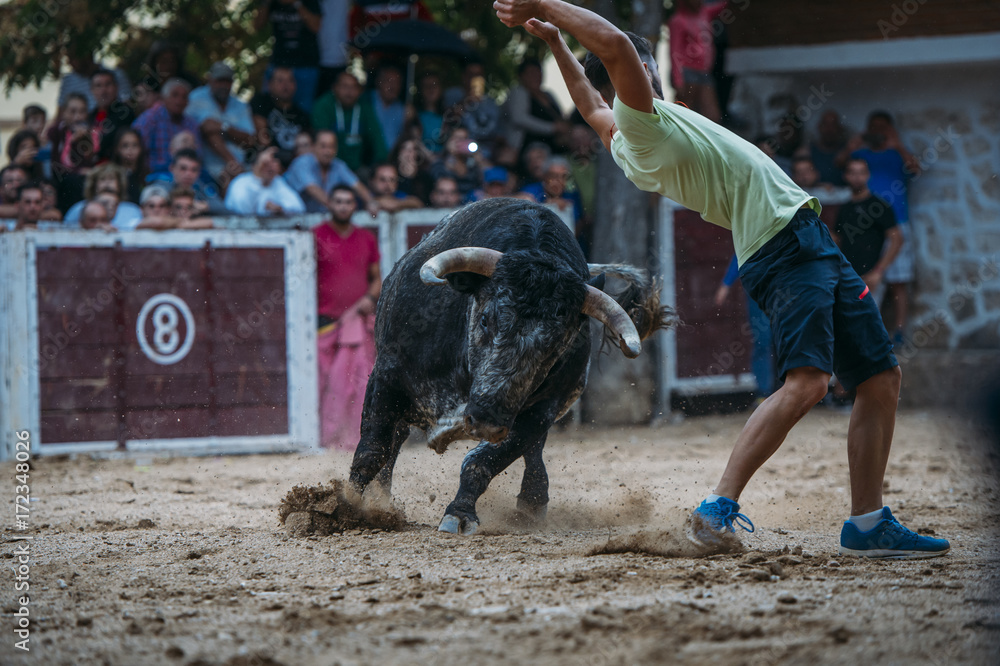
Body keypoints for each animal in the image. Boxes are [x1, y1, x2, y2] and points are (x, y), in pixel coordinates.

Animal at [346, 198, 669, 535]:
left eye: (557, 347)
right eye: (485, 320)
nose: (487, 420)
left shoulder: (540, 411)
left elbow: (484, 461)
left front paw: (460, 513)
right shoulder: (387, 374)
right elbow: (373, 449)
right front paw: (347, 506)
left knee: (532, 452)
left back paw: (532, 503)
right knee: (394, 441)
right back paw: (380, 498)